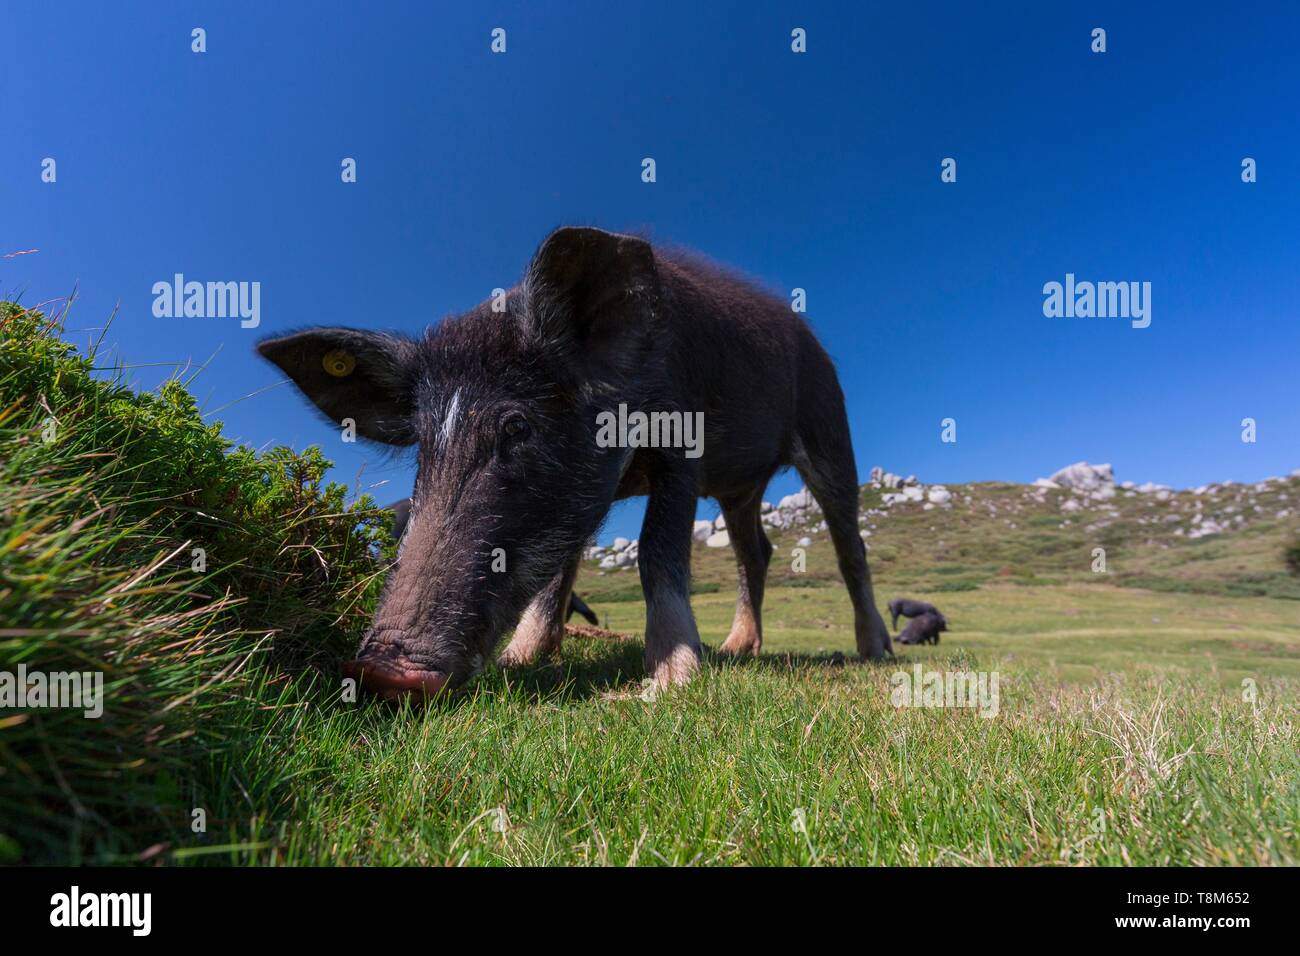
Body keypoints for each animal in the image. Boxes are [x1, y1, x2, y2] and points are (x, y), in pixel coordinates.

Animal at [257, 226, 891, 699]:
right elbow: (557, 571)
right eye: (422, 446)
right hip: (741, 488)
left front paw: (670, 682)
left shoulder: (682, 443)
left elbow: (656, 552)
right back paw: (739, 649)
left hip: (829, 430)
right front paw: (519, 662)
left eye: (518, 426)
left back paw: (874, 652)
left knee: (849, 545)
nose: (381, 670)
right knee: (755, 551)